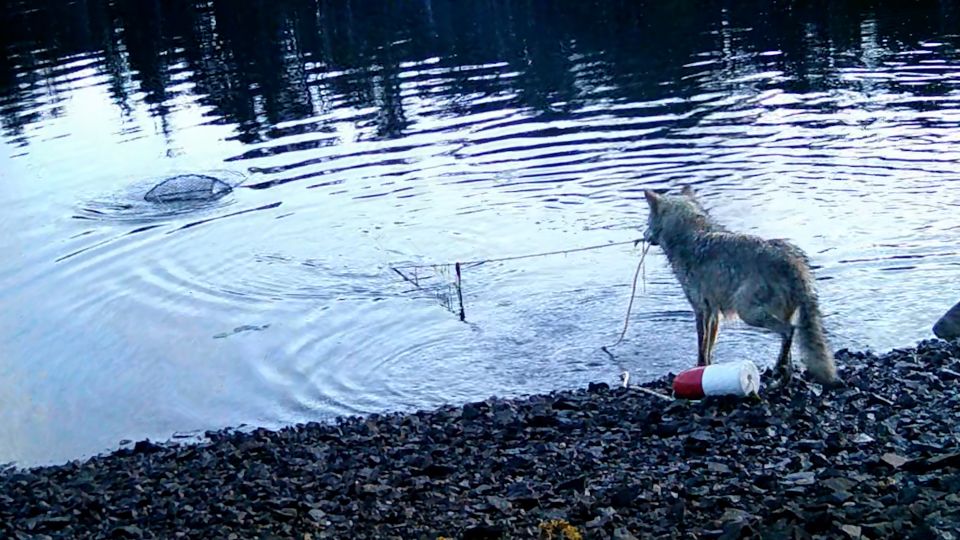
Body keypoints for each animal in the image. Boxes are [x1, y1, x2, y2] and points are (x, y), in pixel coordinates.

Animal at [642, 186, 838, 387]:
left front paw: (698, 367)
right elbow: (709, 346)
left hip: (748, 313)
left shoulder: (700, 309)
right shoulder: (714, 313)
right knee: (789, 346)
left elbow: (701, 344)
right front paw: (707, 366)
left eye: (647, 221)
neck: (689, 235)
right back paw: (782, 376)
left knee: (788, 331)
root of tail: (796, 264)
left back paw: (779, 372)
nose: (643, 235)